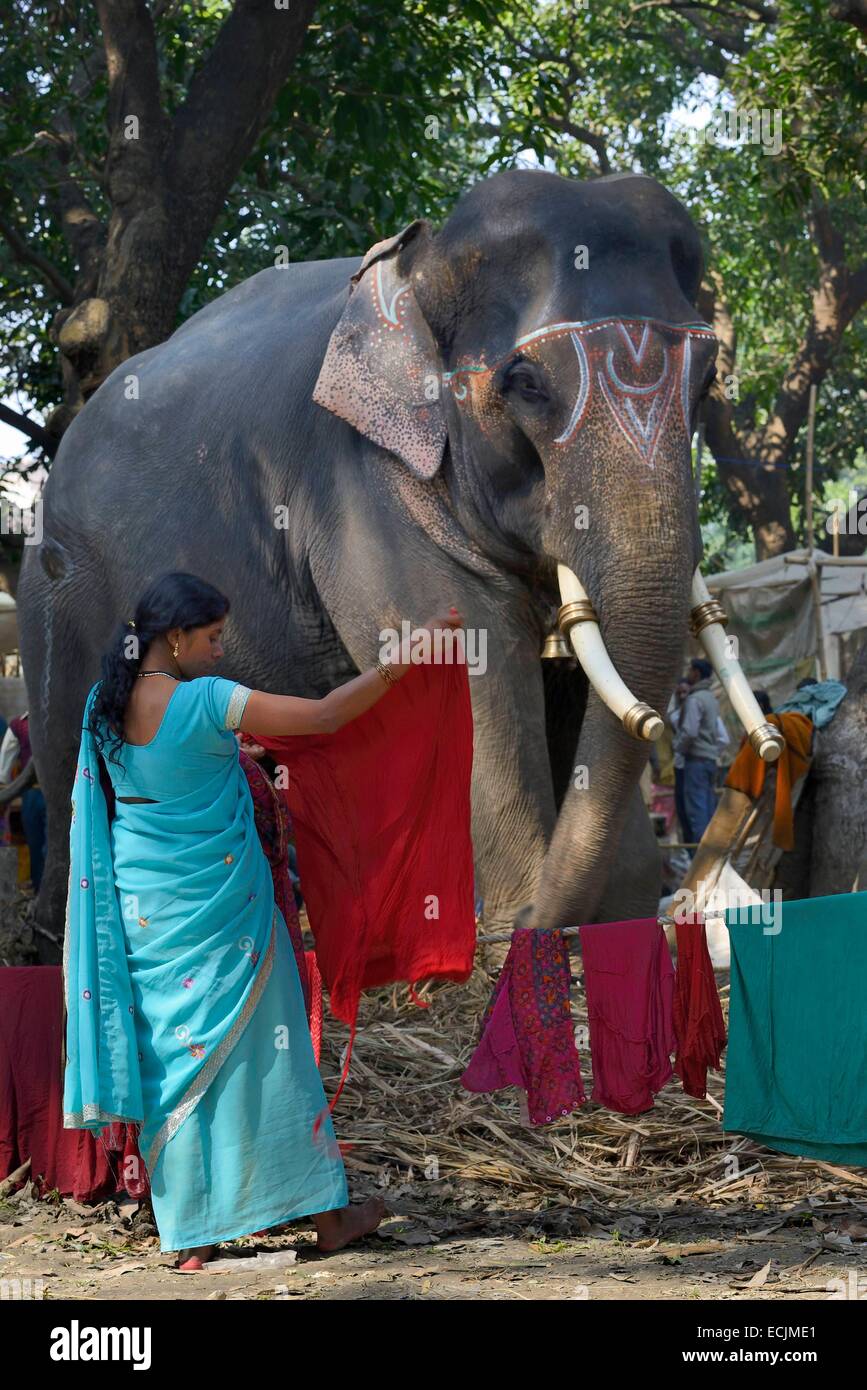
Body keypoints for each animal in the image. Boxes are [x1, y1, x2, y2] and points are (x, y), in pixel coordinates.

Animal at [18, 167, 728, 959]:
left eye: (707, 383)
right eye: (527, 385)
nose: (534, 920)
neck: (421, 265)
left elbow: (575, 677)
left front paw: (611, 929)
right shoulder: (361, 489)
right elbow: (474, 663)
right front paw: (512, 941)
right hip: (54, 587)